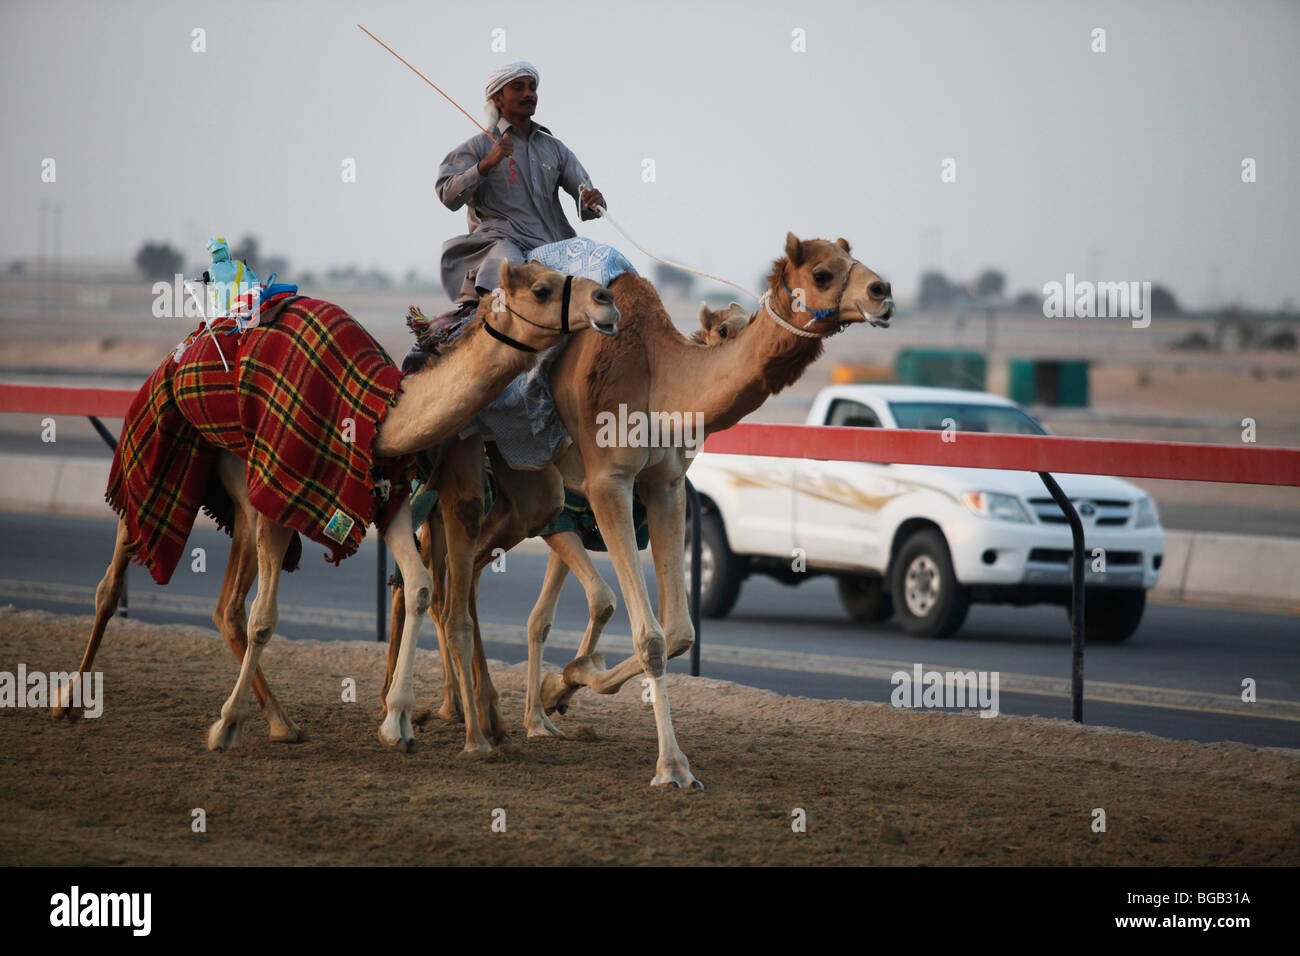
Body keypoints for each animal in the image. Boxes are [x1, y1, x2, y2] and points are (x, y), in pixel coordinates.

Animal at [52, 261, 619, 758]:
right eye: (543, 288)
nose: (605, 299)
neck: (376, 410)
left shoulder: (386, 495)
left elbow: (419, 587)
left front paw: (397, 723)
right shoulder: (283, 490)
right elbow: (265, 619)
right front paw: (224, 727)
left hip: (237, 492)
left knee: (226, 607)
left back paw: (282, 723)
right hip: (160, 455)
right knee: (116, 577)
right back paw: (70, 700)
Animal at [385, 235, 893, 787]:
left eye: (852, 258)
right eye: (823, 273)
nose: (882, 292)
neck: (658, 382)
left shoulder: (664, 484)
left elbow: (678, 631)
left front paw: (564, 683)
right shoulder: (607, 483)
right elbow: (643, 631)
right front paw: (671, 766)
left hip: (525, 495)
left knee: (457, 574)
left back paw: (474, 716)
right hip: (468, 464)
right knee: (443, 575)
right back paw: (437, 721)